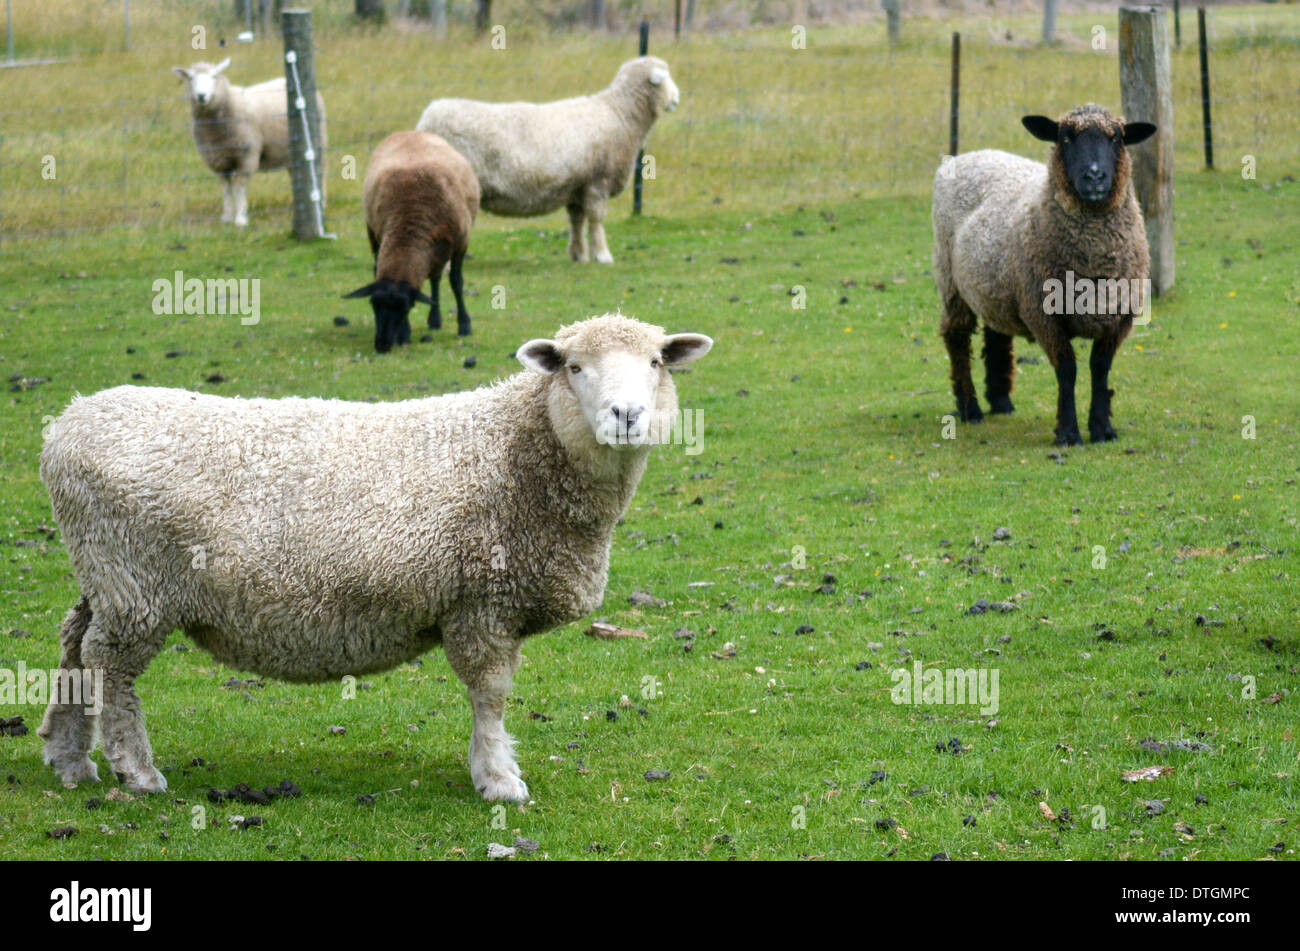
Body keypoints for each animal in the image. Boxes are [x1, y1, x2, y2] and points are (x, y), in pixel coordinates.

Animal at [36, 314, 713, 802]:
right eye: (574, 367)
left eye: (656, 363)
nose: (627, 415)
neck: (515, 451)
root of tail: (65, 425)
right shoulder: (482, 601)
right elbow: (491, 694)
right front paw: (498, 780)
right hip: (133, 580)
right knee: (109, 666)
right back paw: (135, 771)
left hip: (103, 571)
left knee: (75, 643)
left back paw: (69, 756)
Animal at [171, 57, 327, 227]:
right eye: (190, 78)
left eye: (214, 76)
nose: (201, 96)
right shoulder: (218, 160)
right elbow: (226, 188)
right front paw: (227, 216)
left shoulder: (247, 155)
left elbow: (239, 187)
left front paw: (240, 218)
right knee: (296, 173)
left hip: (318, 141)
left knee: (320, 171)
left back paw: (321, 203)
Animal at [343, 131, 481, 352]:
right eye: (373, 304)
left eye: (405, 306)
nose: (382, 345)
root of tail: (409, 132)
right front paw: (404, 334)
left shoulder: (461, 242)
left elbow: (456, 282)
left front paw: (464, 325)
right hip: (374, 234)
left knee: (436, 278)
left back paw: (435, 320)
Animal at [415, 56, 680, 264]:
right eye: (665, 77)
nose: (677, 98)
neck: (619, 114)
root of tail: (428, 118)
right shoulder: (597, 181)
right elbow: (596, 220)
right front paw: (602, 255)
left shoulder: (577, 186)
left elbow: (576, 221)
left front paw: (579, 254)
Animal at [931, 103, 1157, 446]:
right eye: (1066, 137)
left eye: (1116, 138)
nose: (1094, 176)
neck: (1094, 260)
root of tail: (961, 157)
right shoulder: (1044, 315)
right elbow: (1067, 370)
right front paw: (1068, 432)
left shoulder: (1119, 316)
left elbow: (1100, 368)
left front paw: (1102, 429)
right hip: (951, 281)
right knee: (956, 337)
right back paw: (971, 408)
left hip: (998, 284)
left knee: (996, 332)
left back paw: (1001, 401)